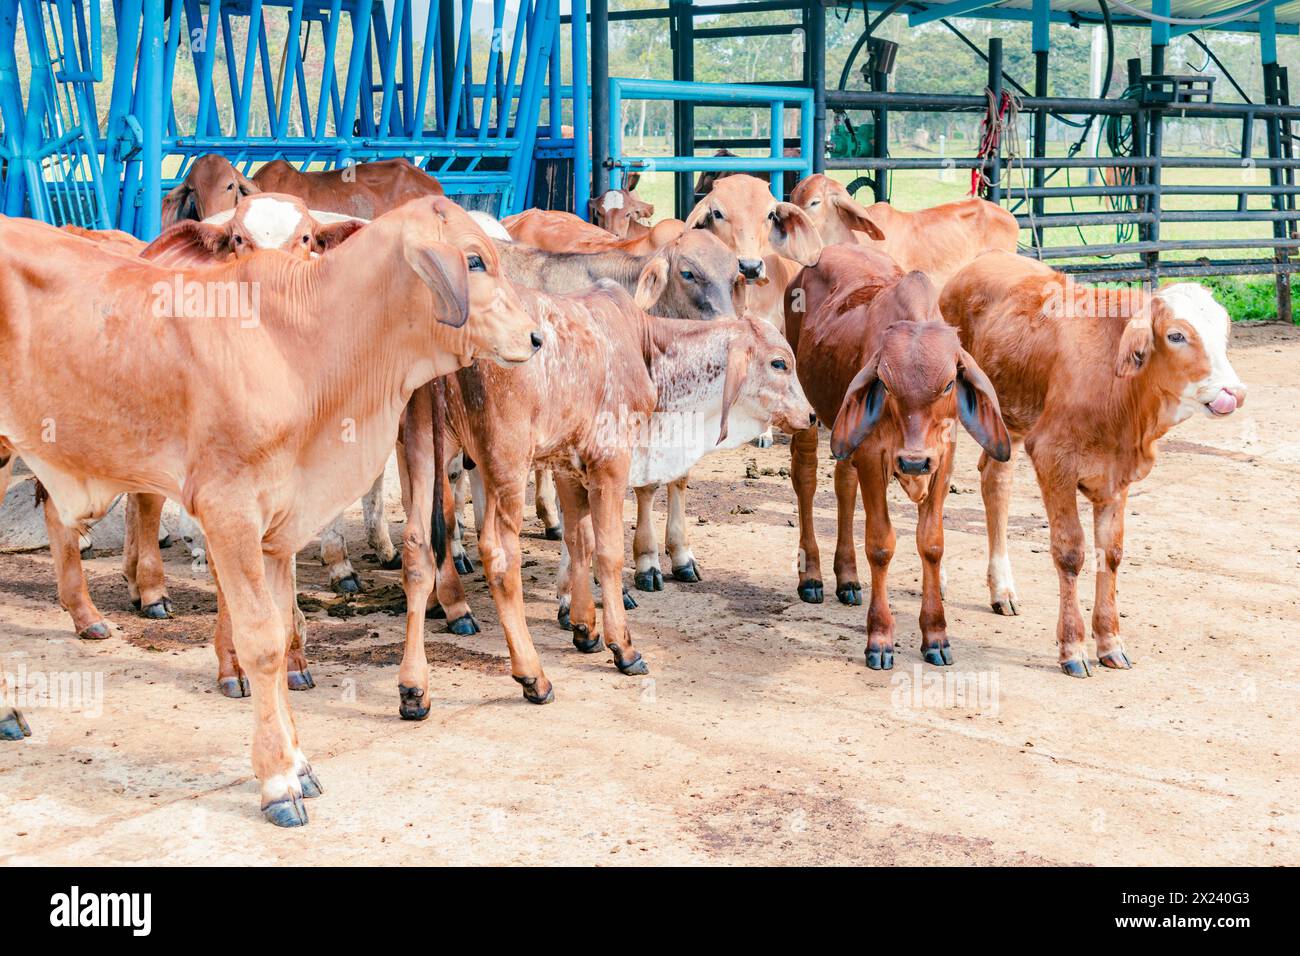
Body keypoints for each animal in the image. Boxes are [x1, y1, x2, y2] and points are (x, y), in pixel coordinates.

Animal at [0, 197, 539, 827]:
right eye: (474, 260)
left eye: (308, 237)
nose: (536, 336)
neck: (300, 344)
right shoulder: (228, 510)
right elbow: (259, 641)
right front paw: (278, 781)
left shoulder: (278, 530)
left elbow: (282, 636)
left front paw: (301, 767)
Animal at [785, 245, 1010, 670]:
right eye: (886, 384)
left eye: (949, 384)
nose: (913, 463)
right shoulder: (874, 456)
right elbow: (881, 544)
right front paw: (880, 638)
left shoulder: (942, 459)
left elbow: (931, 543)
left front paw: (936, 636)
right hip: (805, 408)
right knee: (805, 476)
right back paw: (812, 576)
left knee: (843, 483)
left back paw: (848, 579)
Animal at [940, 252, 1246, 677]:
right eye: (1176, 335)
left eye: (1222, 332)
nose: (1233, 392)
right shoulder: (1052, 459)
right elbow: (1070, 553)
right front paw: (1072, 646)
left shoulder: (1117, 477)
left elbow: (1110, 554)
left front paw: (1110, 642)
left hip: (1007, 422)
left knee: (995, 483)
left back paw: (1003, 589)